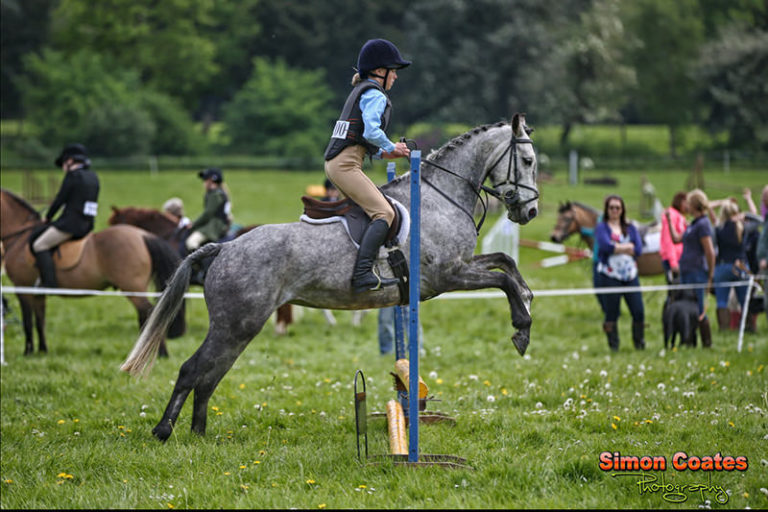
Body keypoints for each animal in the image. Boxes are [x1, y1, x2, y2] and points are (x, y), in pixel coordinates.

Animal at [0, 188, 185, 357]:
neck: (19, 238)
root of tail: (143, 235)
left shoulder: (22, 288)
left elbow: (27, 322)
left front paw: (28, 352)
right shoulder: (37, 293)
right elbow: (40, 321)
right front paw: (42, 350)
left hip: (133, 288)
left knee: (150, 313)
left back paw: (159, 353)